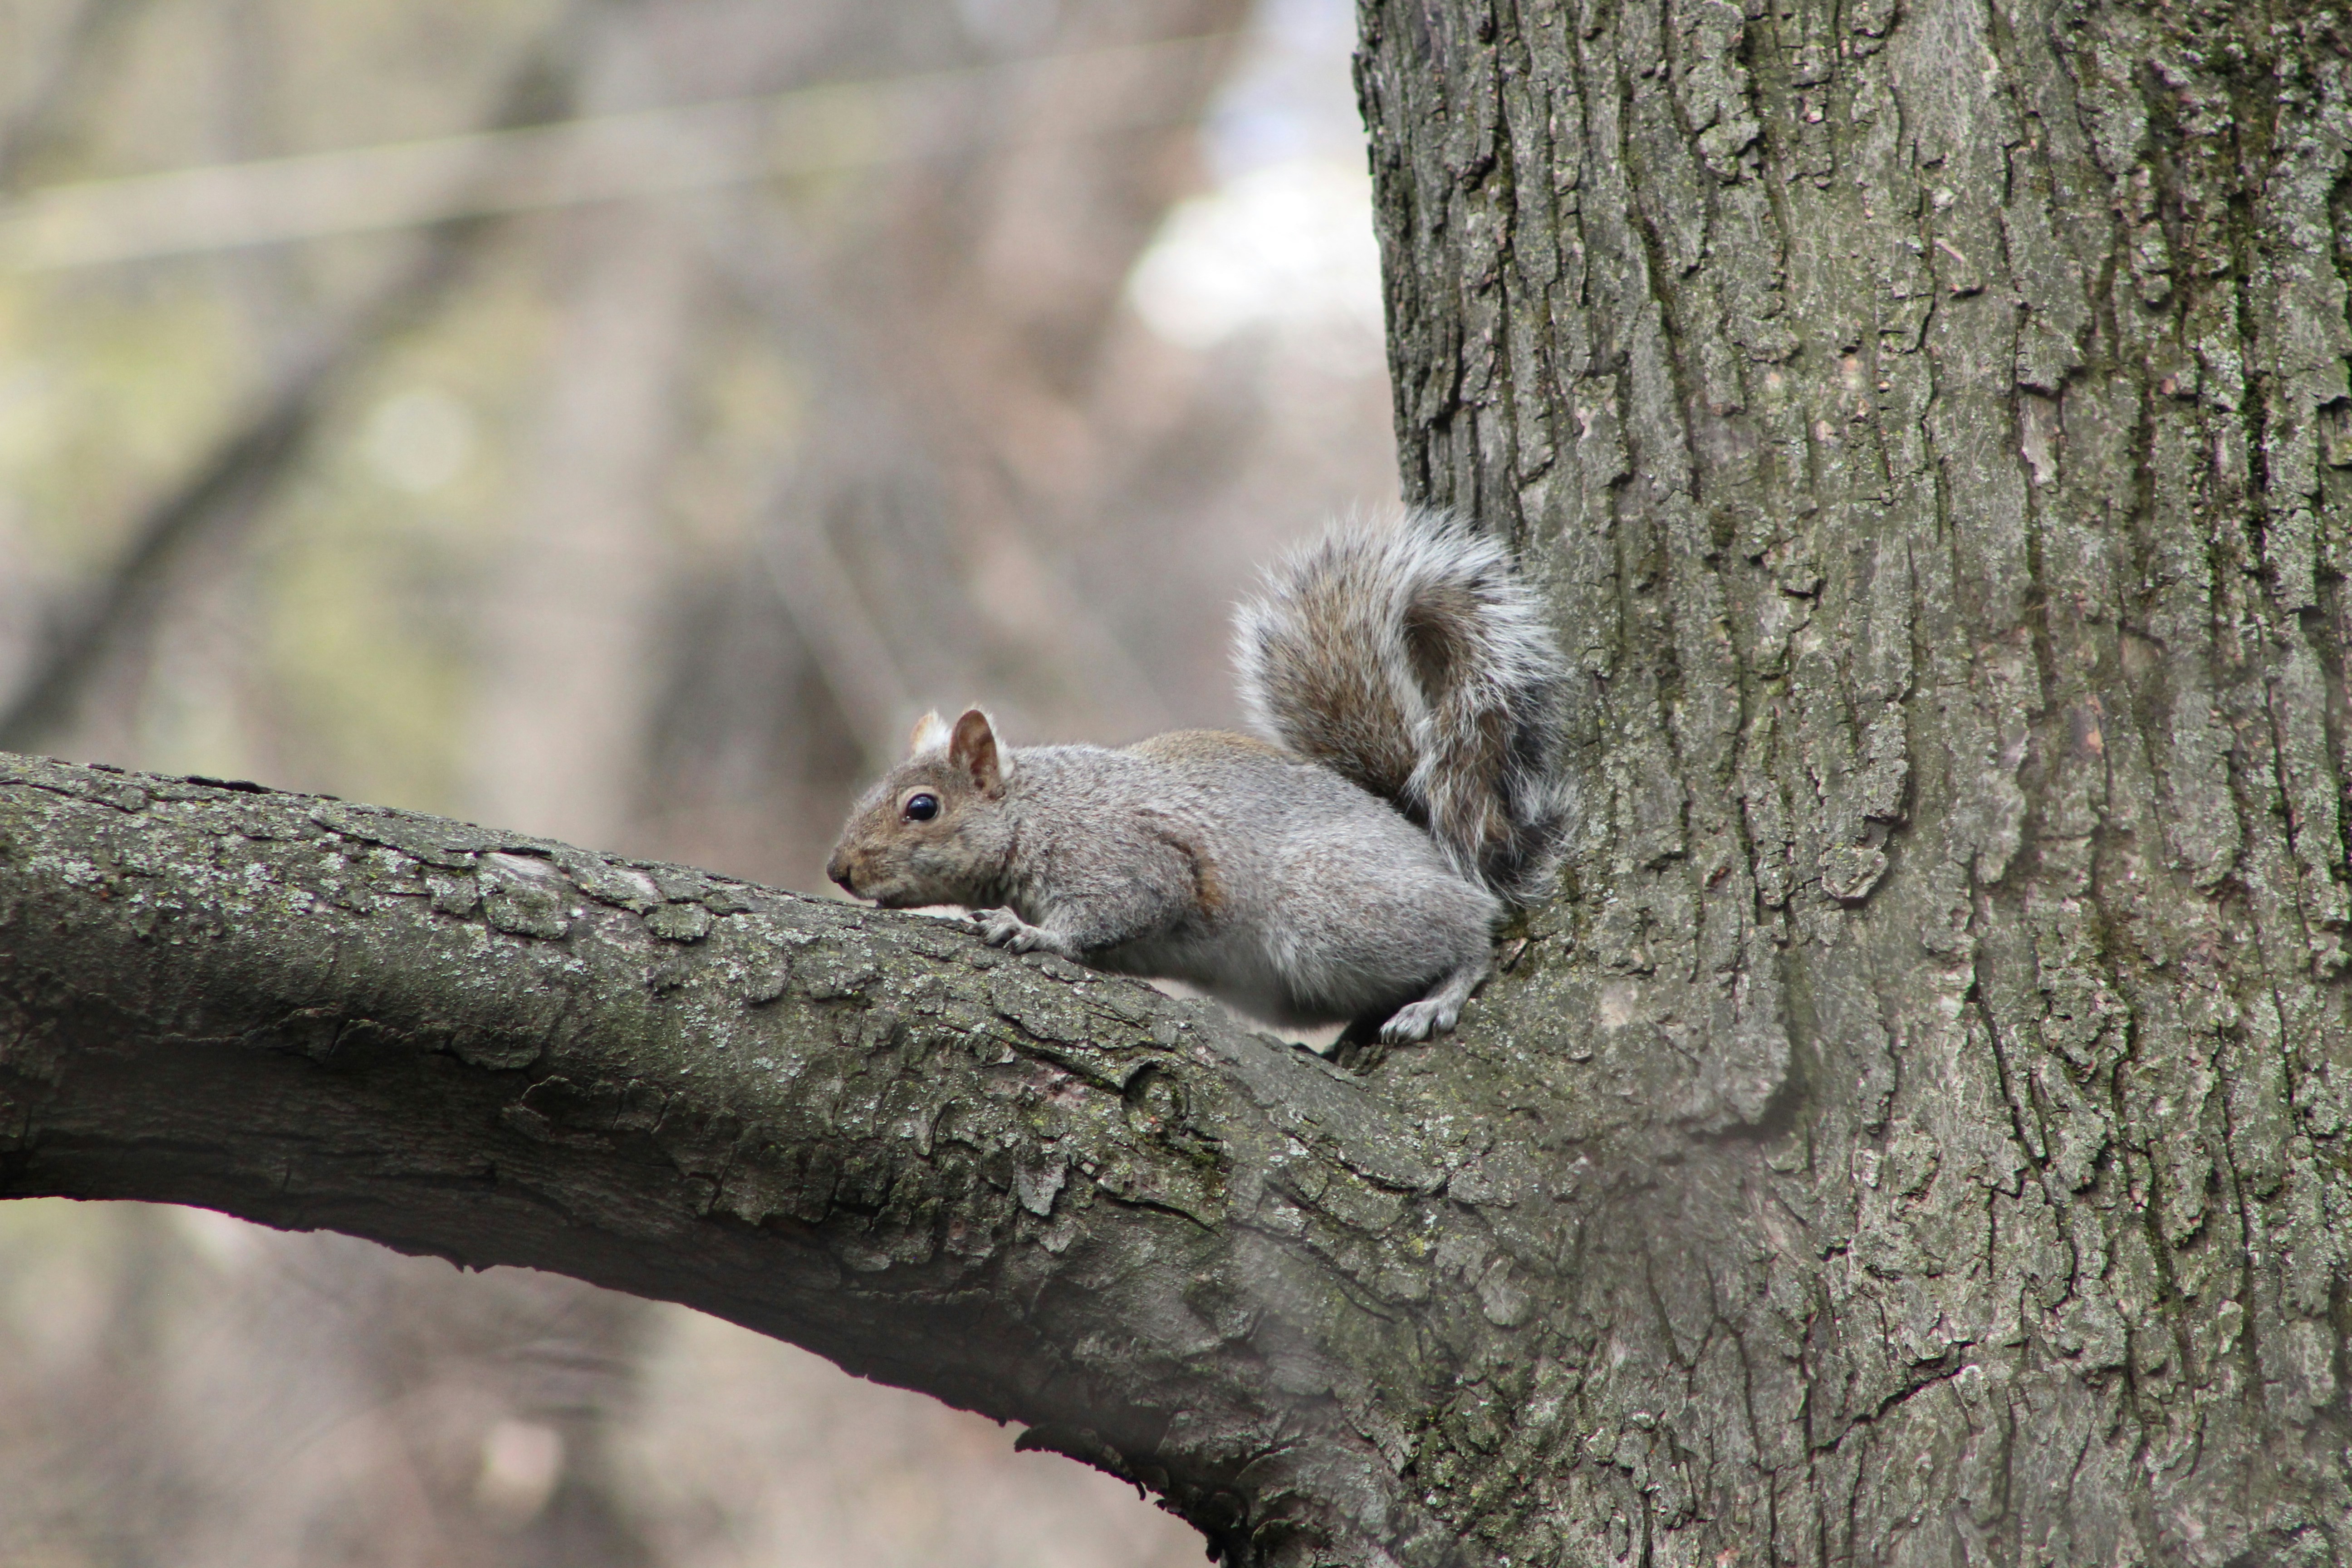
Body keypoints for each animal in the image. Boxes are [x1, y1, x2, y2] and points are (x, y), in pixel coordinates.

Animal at [825, 509, 1573, 1044]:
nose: (839, 871)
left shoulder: (1124, 859)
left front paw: (1032, 934)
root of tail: (1427, 843)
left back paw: (1440, 993)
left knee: (1472, 927)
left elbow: (1120, 908)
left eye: (922, 807)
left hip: (1335, 909)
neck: (1036, 810)